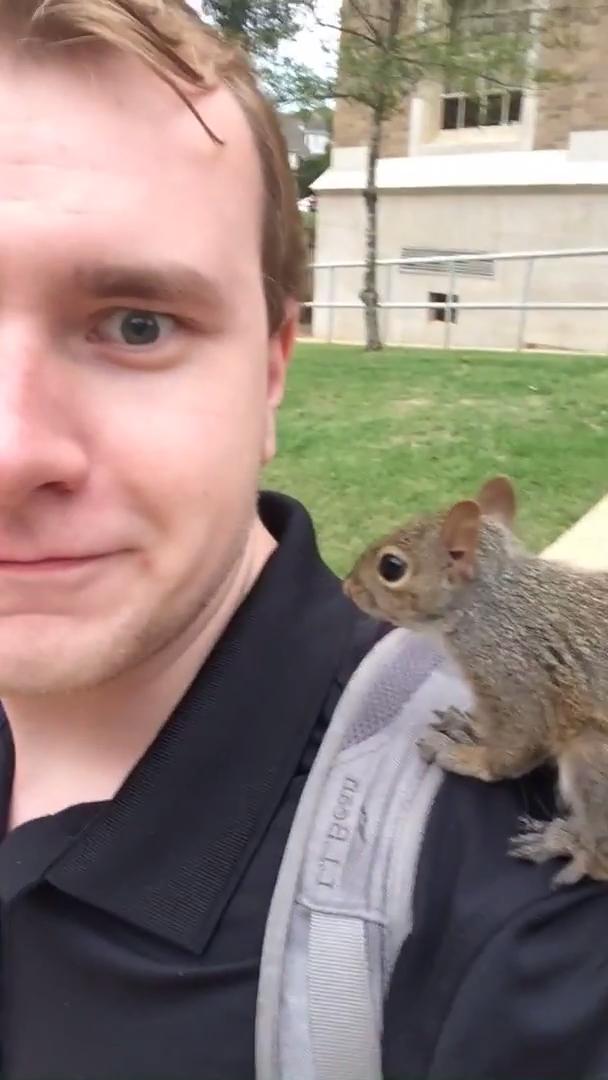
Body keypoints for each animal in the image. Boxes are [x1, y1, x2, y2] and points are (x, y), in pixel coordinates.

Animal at [343, 475, 608, 887]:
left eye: (391, 567)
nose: (348, 586)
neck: (488, 604)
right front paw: (469, 728)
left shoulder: (514, 676)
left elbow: (512, 753)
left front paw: (466, 756)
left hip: (593, 761)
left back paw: (565, 843)